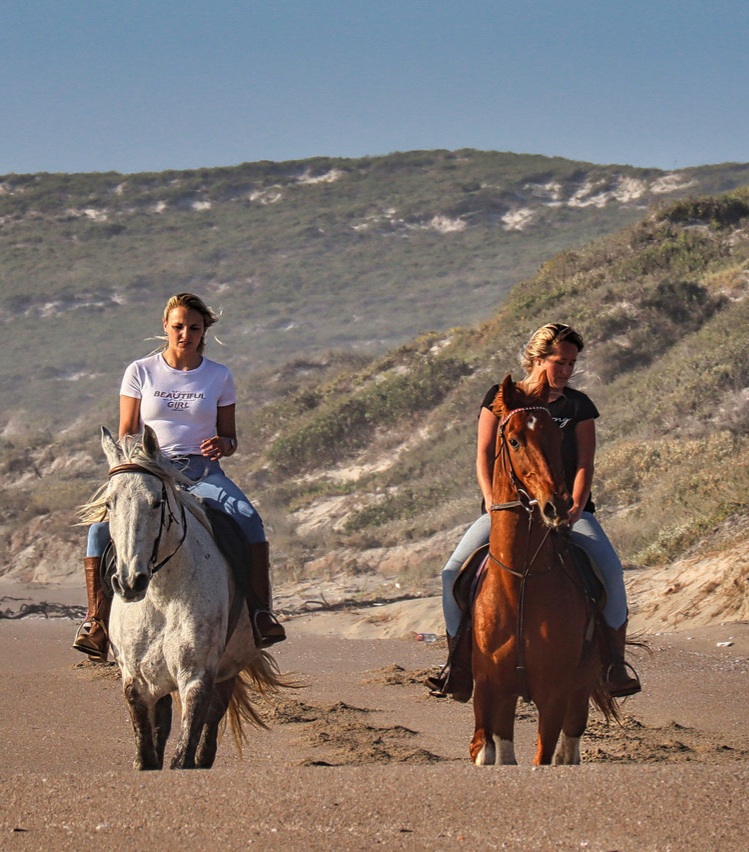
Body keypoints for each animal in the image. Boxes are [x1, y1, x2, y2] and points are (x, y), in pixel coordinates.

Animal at [82, 425, 285, 770]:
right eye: (109, 505)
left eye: (155, 502)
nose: (129, 582)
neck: (161, 595)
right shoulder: (135, 681)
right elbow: (146, 754)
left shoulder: (196, 677)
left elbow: (184, 753)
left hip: (228, 669)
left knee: (210, 726)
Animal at [470, 375, 618, 766]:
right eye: (514, 440)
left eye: (556, 435)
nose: (559, 506)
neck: (521, 580)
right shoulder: (492, 688)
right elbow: (497, 750)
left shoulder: (555, 693)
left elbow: (544, 756)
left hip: (580, 686)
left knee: (570, 742)